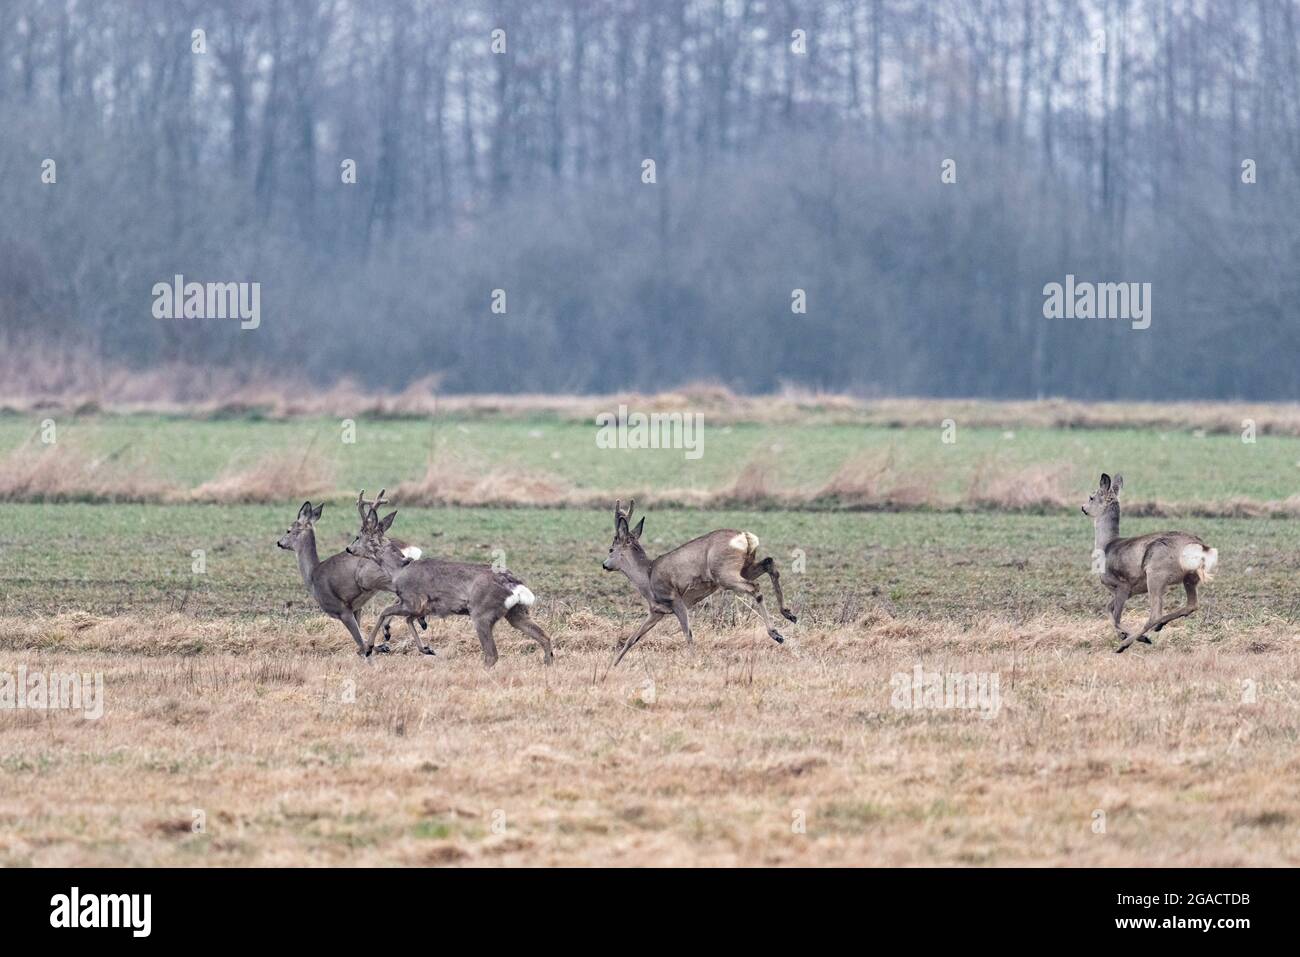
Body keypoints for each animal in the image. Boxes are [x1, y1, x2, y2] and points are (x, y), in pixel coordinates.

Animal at [346, 502, 554, 667]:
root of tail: (513, 583)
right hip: (516, 612)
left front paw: (369, 647)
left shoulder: (413, 601)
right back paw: (548, 665)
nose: (348, 549)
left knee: (491, 655)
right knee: (544, 637)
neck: (398, 569)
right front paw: (424, 648)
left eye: (358, 536)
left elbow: (385, 611)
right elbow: (406, 619)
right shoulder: (419, 607)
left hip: (482, 613)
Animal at [602, 500, 797, 667]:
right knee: (770, 563)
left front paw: (693, 661)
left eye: (610, 549)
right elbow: (633, 638)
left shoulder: (676, 599)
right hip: (743, 567)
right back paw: (788, 614)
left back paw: (776, 633)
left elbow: (688, 633)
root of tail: (746, 537)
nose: (604, 565)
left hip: (724, 573)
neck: (647, 577)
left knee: (755, 587)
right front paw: (613, 665)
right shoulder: (657, 611)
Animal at [1082, 473, 1218, 653]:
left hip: (1155, 573)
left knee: (1155, 613)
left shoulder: (1123, 584)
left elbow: (1116, 616)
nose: (1083, 507)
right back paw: (1158, 626)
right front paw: (1124, 635)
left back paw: (1126, 644)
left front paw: (1135, 638)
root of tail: (1201, 547)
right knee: (1192, 604)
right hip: (1189, 577)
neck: (1106, 545)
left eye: (1091, 497)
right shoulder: (1128, 590)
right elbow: (1108, 609)